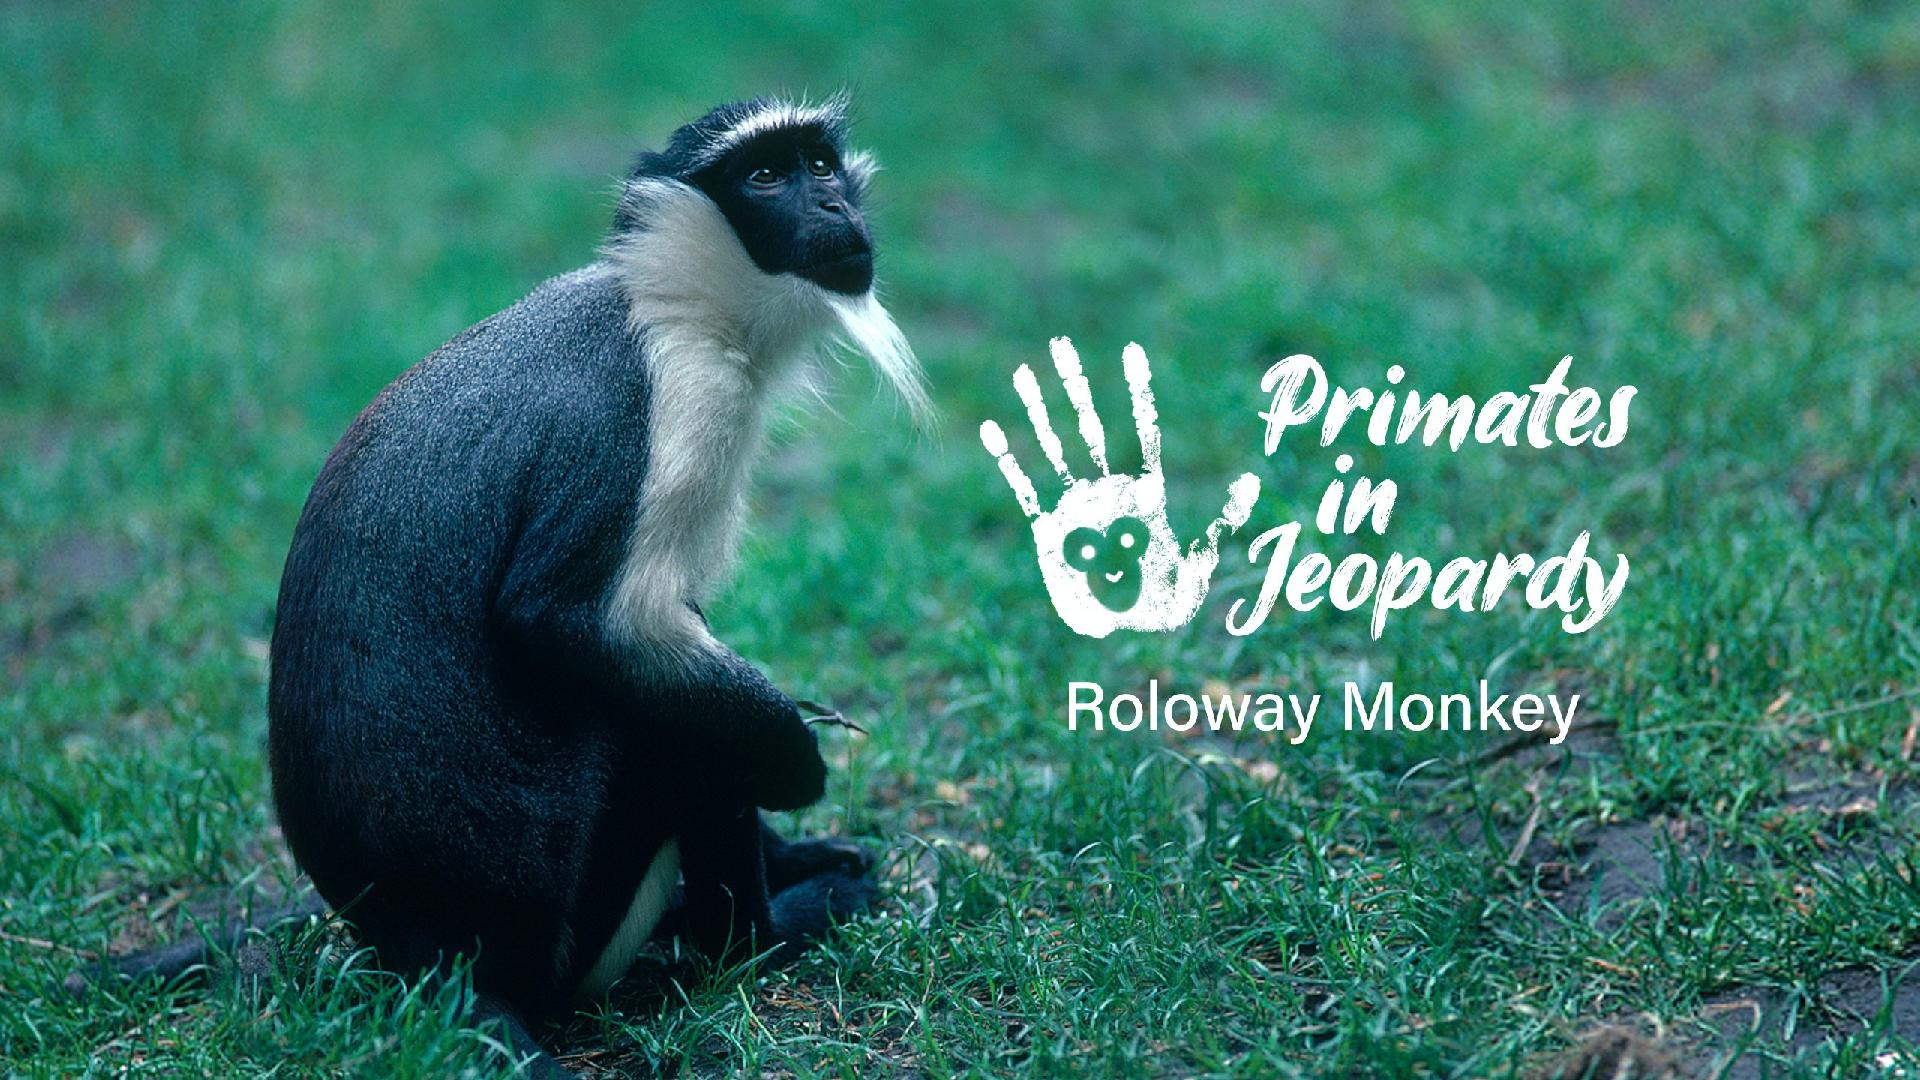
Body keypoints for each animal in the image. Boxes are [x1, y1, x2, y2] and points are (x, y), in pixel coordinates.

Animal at [253, 96, 927, 1072]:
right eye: (765, 176)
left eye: (820, 163)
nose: (835, 206)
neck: (664, 299)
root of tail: (437, 962)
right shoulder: (679, 402)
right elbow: (572, 622)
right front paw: (792, 762)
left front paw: (795, 847)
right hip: (577, 926)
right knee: (663, 727)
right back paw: (757, 938)